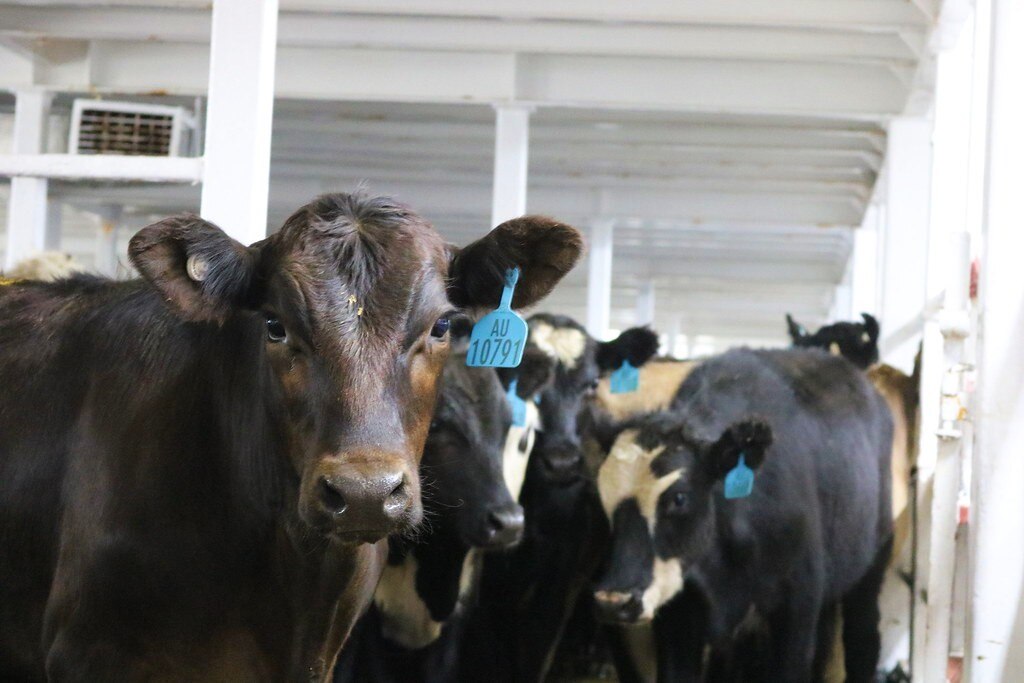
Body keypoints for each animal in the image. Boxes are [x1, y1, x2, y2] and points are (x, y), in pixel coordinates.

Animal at [593, 348, 893, 683]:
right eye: (602, 495)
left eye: (679, 498)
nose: (613, 601)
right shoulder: (678, 616)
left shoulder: (796, 607)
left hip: (870, 569)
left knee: (863, 640)